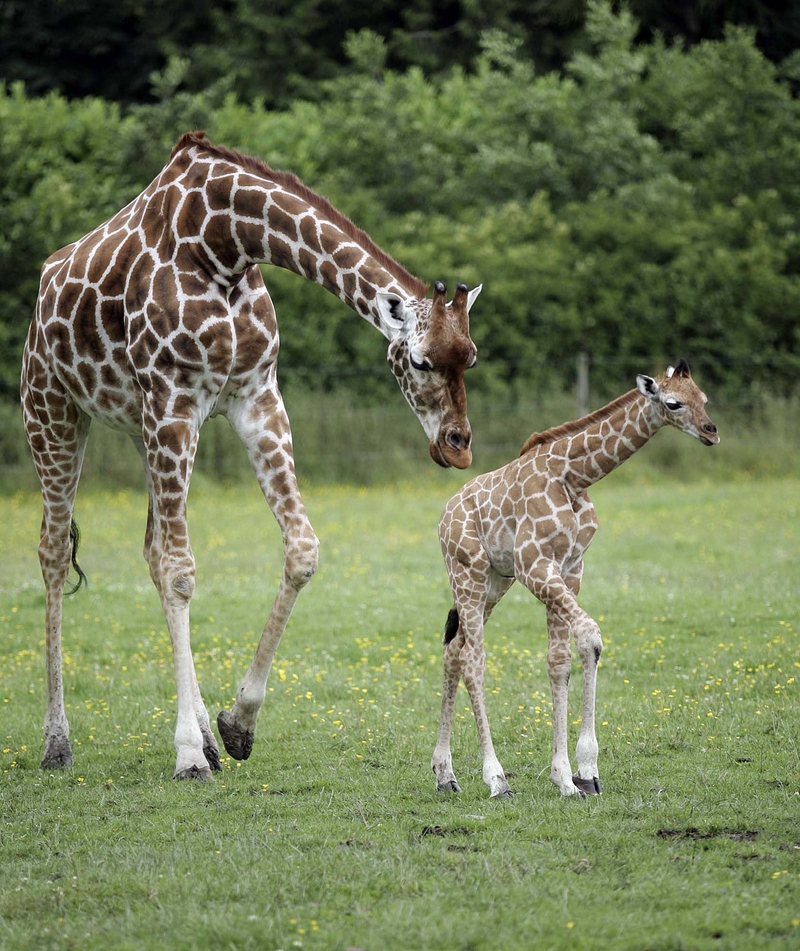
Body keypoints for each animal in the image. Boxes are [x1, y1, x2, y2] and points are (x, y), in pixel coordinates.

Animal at [21, 131, 482, 780]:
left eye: (471, 356)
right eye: (419, 361)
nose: (457, 447)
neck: (223, 243)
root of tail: (43, 290)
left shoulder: (256, 396)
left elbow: (301, 550)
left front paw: (235, 725)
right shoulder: (175, 399)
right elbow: (184, 571)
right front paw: (188, 752)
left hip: (141, 427)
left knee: (150, 551)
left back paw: (204, 739)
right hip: (54, 409)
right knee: (55, 552)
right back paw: (58, 742)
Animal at [432, 360, 719, 798]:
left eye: (703, 398)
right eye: (673, 403)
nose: (711, 431)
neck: (575, 475)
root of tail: (444, 516)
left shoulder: (570, 568)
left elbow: (559, 661)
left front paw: (571, 776)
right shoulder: (535, 565)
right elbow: (590, 636)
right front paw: (580, 769)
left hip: (495, 582)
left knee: (454, 651)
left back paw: (445, 775)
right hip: (468, 573)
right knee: (472, 660)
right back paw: (495, 778)